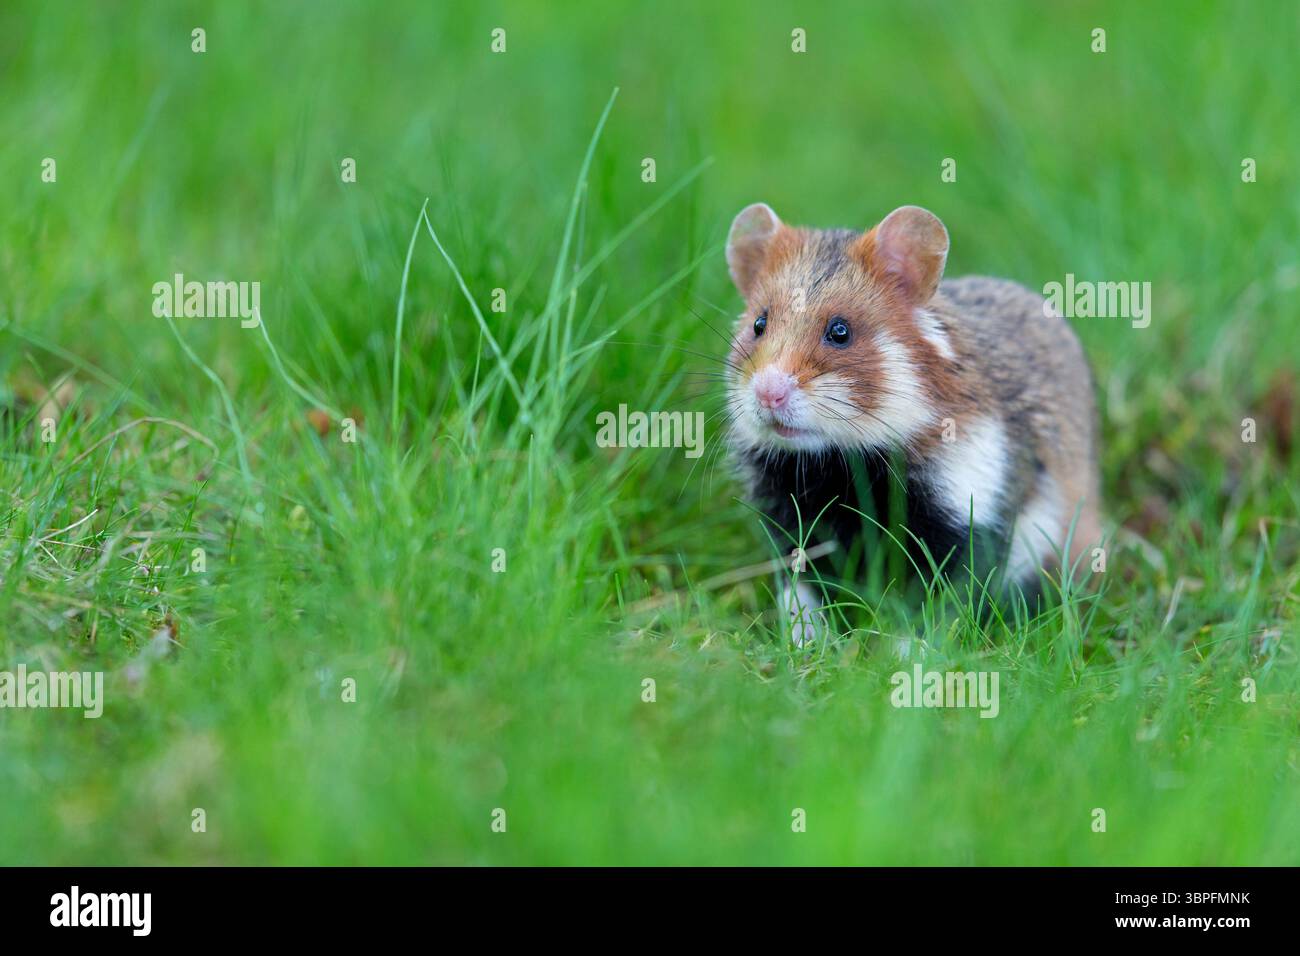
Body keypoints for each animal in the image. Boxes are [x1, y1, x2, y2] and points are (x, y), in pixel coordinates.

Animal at [723, 202, 1102, 645]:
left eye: (840, 331)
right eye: (759, 324)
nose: (768, 394)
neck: (842, 460)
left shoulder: (966, 517)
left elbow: (936, 603)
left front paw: (904, 652)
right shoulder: (788, 516)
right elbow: (800, 589)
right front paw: (807, 644)